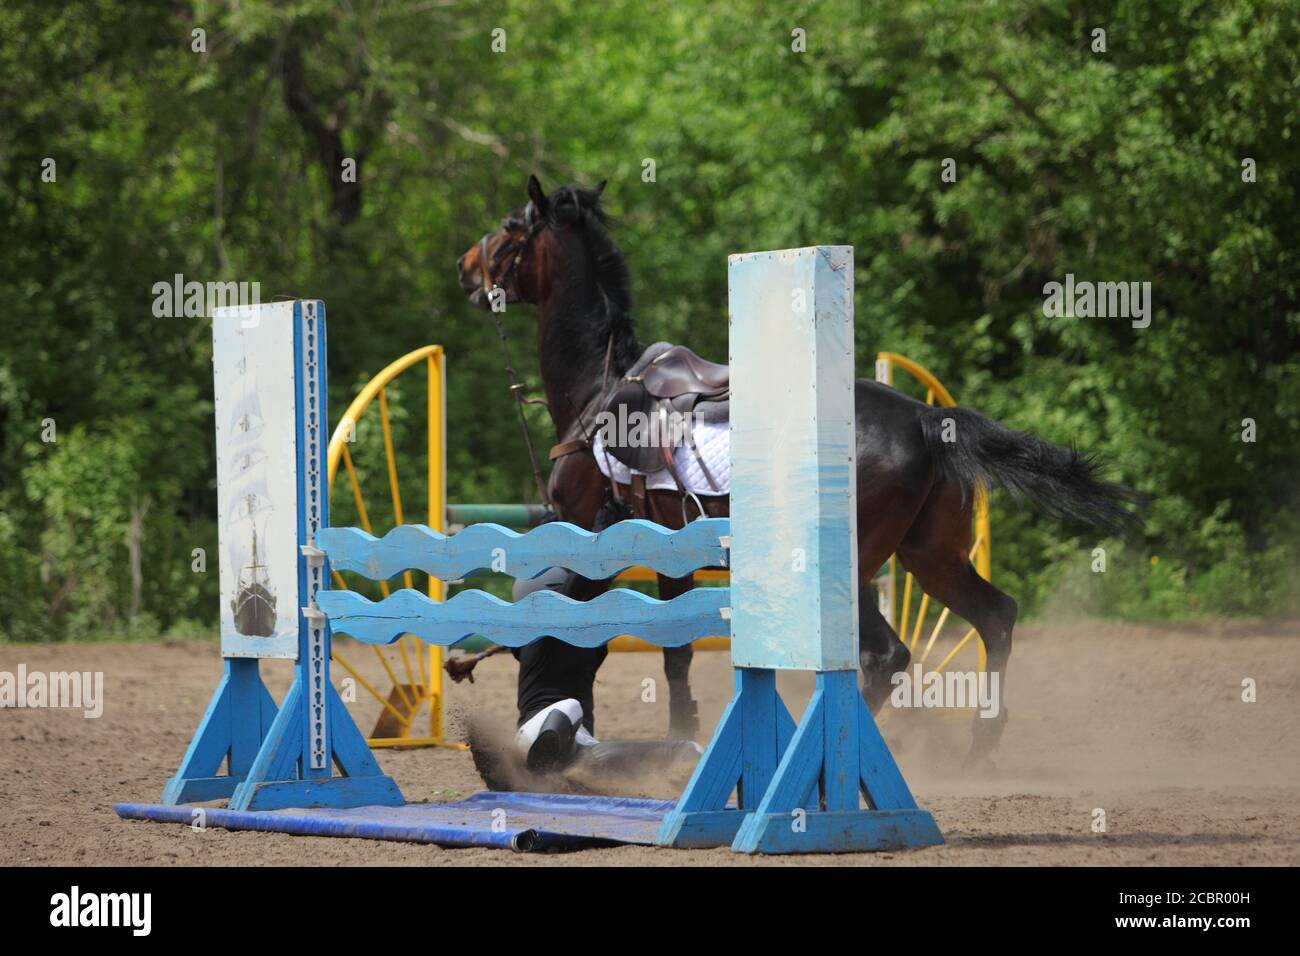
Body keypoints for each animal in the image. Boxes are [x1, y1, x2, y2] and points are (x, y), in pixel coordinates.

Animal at [456, 175, 1137, 756]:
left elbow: (595, 632)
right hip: (932, 555)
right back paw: (979, 742)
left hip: (856, 564)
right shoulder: (667, 549)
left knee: (887, 657)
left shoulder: (590, 532)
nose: (465, 266)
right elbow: (672, 652)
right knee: (995, 617)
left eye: (511, 227)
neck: (596, 391)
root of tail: (924, 417)